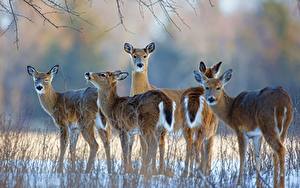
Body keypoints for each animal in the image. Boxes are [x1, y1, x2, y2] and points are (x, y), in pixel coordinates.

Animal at [124, 41, 220, 176]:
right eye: (134, 55)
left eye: (145, 55)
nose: (140, 64)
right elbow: (146, 148)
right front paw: (149, 170)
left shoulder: (161, 128)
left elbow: (158, 147)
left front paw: (155, 171)